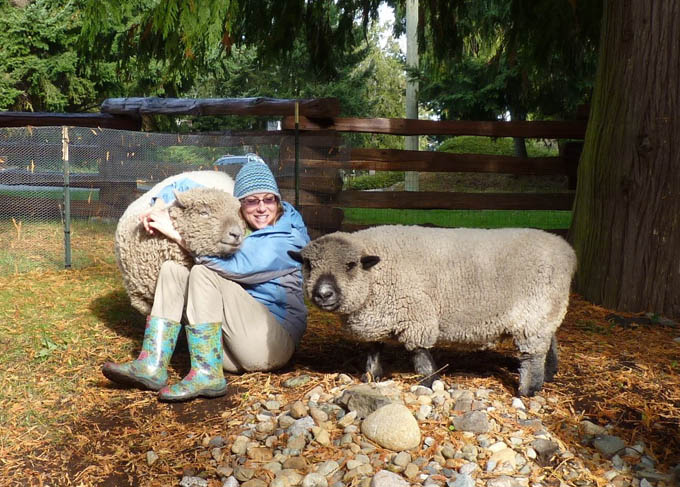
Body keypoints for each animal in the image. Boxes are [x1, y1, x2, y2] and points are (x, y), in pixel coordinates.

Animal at [289, 225, 577, 396]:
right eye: (308, 265)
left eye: (350, 265)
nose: (323, 294)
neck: (375, 274)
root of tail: (567, 251)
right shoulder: (377, 319)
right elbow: (373, 350)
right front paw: (371, 376)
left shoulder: (415, 314)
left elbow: (420, 355)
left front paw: (427, 383)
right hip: (545, 312)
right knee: (550, 342)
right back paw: (550, 374)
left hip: (535, 312)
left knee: (532, 355)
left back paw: (528, 389)